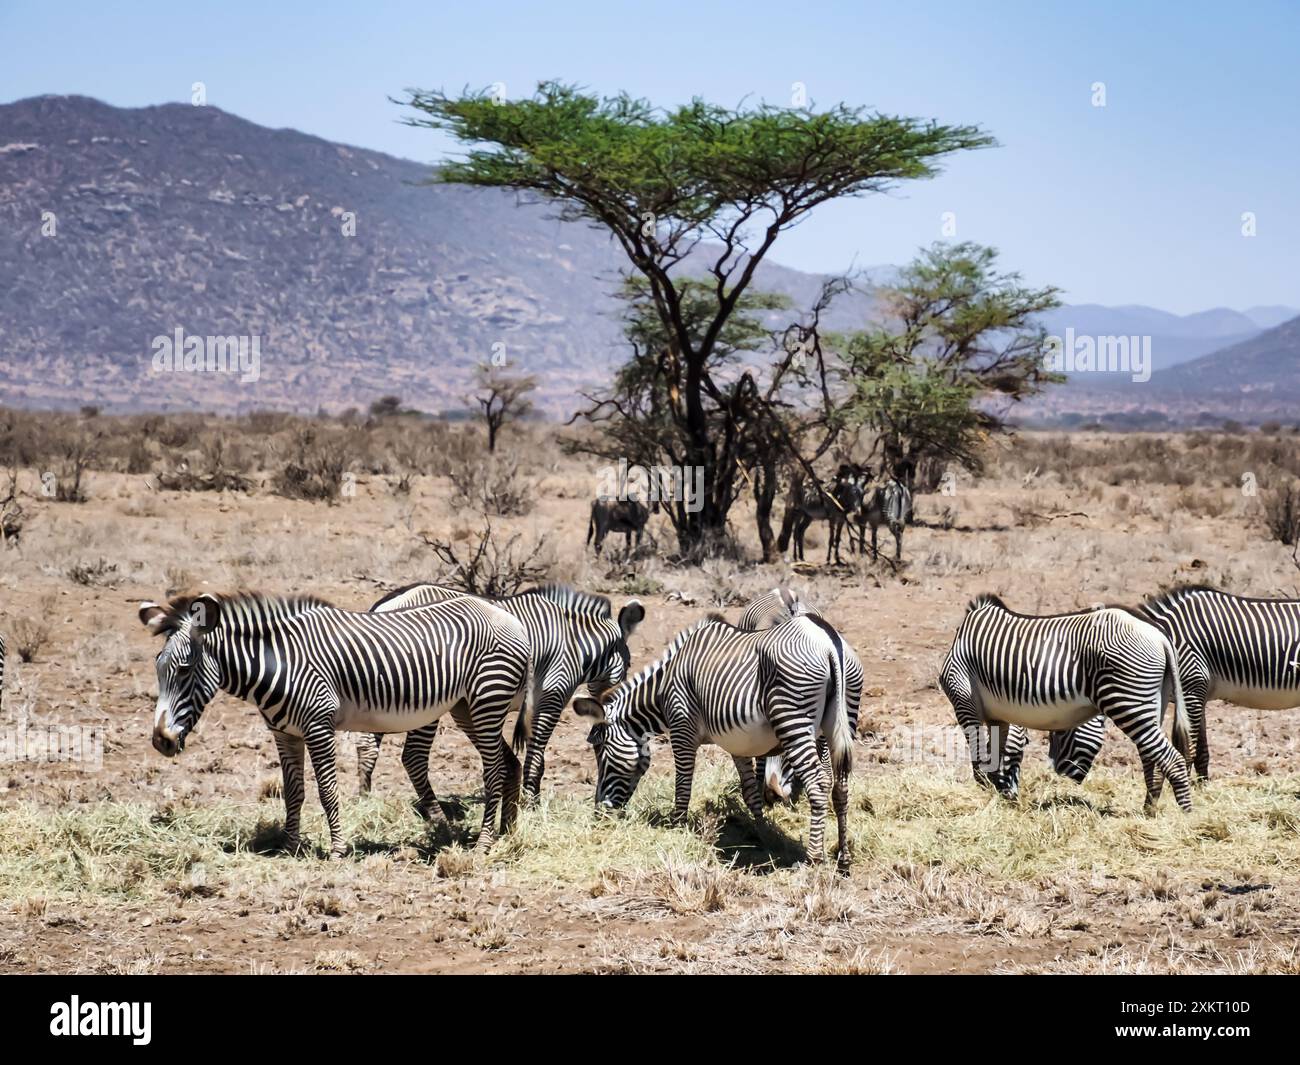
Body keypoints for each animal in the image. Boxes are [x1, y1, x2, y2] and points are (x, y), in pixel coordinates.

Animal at [138, 591, 532, 856]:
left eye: (184, 670)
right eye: (157, 667)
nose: (161, 741)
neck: (280, 663)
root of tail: (510, 619)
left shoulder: (318, 727)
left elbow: (328, 791)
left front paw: (338, 849)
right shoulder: (285, 734)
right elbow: (294, 792)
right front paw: (290, 846)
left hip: (487, 699)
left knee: (494, 769)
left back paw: (485, 843)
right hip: (467, 707)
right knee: (509, 762)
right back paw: (508, 833)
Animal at [355, 584, 644, 819]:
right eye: (630, 664)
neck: (575, 643)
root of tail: (386, 603)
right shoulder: (553, 694)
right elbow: (537, 756)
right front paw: (532, 803)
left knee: (367, 744)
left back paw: (364, 800)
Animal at [573, 612, 855, 871]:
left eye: (601, 753)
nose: (600, 815)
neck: (663, 690)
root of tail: (827, 639)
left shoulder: (682, 730)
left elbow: (683, 786)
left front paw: (677, 828)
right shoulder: (739, 745)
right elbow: (750, 792)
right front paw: (762, 834)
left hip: (793, 718)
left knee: (818, 785)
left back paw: (813, 860)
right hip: (838, 718)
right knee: (839, 786)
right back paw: (843, 857)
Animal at [938, 594, 1193, 812]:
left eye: (1061, 735)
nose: (1059, 771)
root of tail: (1158, 635)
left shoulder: (964, 701)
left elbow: (982, 752)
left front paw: (987, 793)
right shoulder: (998, 716)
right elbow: (996, 754)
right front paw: (1000, 794)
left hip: (1127, 701)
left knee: (1173, 759)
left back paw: (1186, 815)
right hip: (1152, 703)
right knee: (1152, 758)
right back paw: (1149, 810)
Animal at [1039, 585, 1300, 786]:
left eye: (1061, 730)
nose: (1057, 774)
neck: (1168, 638)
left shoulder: (1192, 688)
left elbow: (1187, 747)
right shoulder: (1197, 695)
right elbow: (1201, 750)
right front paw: (1202, 788)